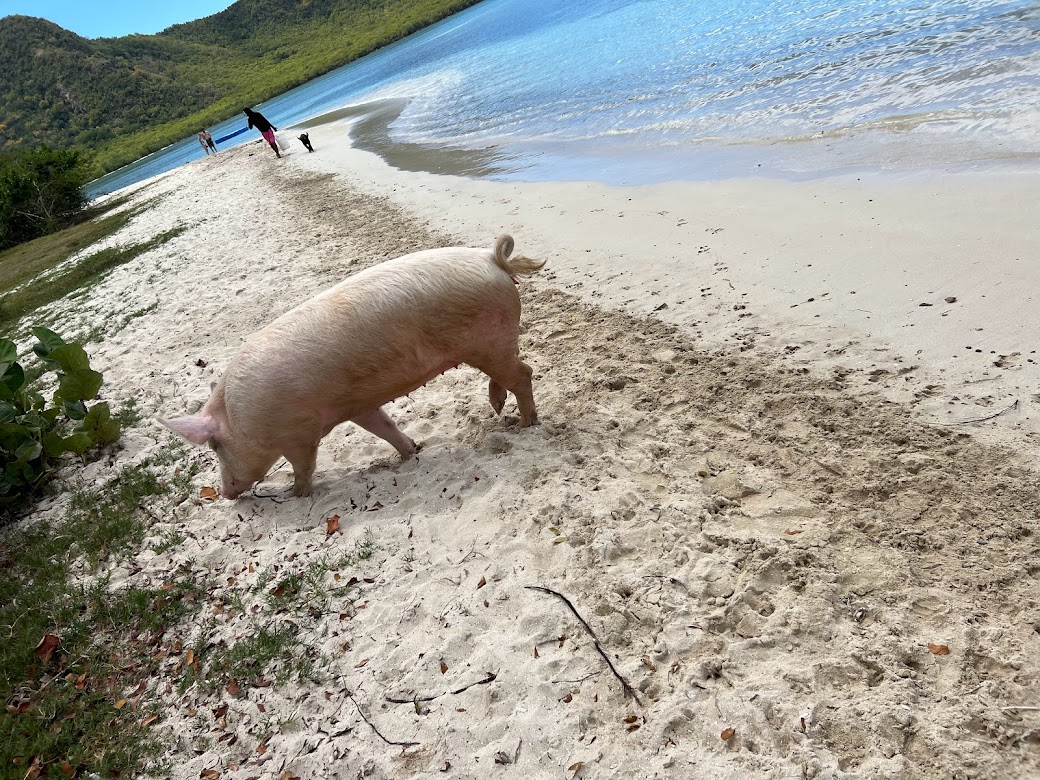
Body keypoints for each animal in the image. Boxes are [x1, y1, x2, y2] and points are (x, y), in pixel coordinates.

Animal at [161, 235, 543, 499]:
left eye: (215, 446)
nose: (224, 494)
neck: (243, 420)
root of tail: (491, 258)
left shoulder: (298, 432)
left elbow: (304, 464)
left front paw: (296, 495)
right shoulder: (358, 405)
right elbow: (384, 427)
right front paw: (411, 452)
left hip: (487, 341)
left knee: (523, 373)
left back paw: (526, 424)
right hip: (488, 345)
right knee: (506, 374)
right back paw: (498, 409)